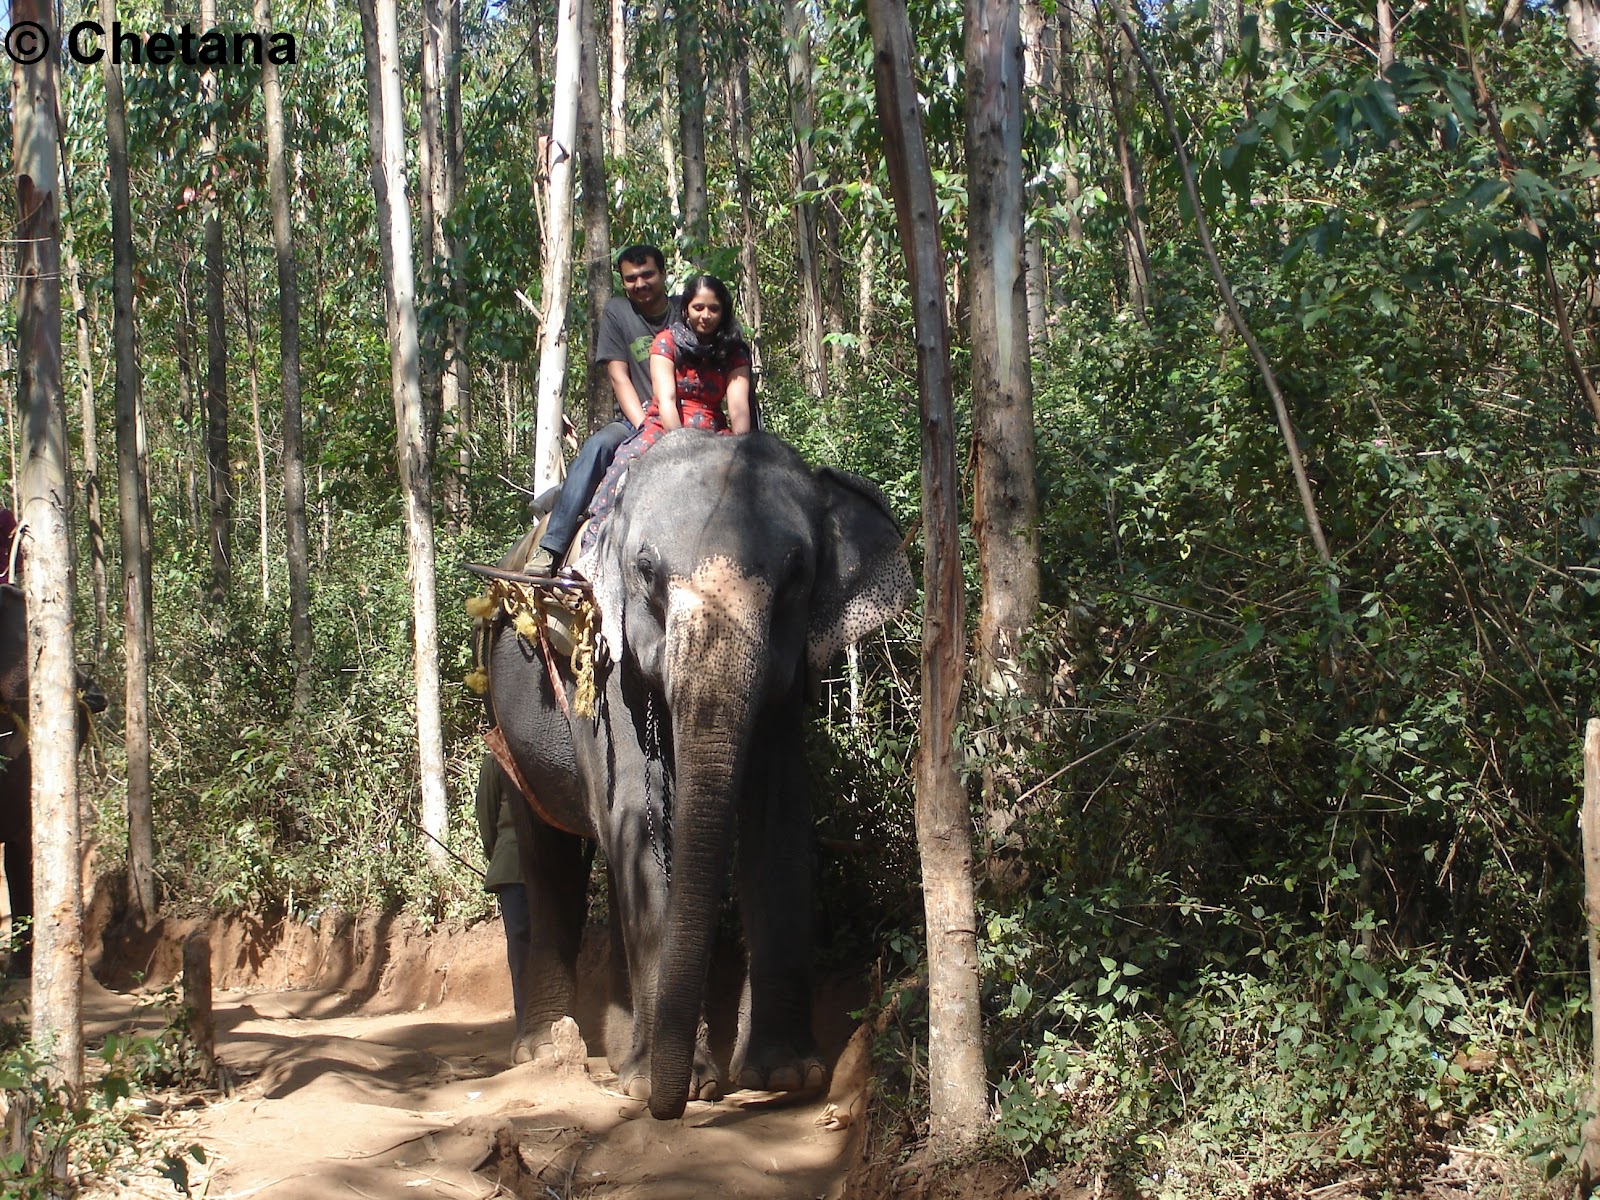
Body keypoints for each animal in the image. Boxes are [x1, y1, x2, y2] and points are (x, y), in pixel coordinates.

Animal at [480, 429, 912, 1120]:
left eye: (797, 573)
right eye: (646, 571)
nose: (671, 1105)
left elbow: (780, 817)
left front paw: (788, 1077)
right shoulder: (605, 663)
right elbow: (638, 814)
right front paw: (667, 1085)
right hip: (512, 717)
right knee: (548, 859)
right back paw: (545, 1051)